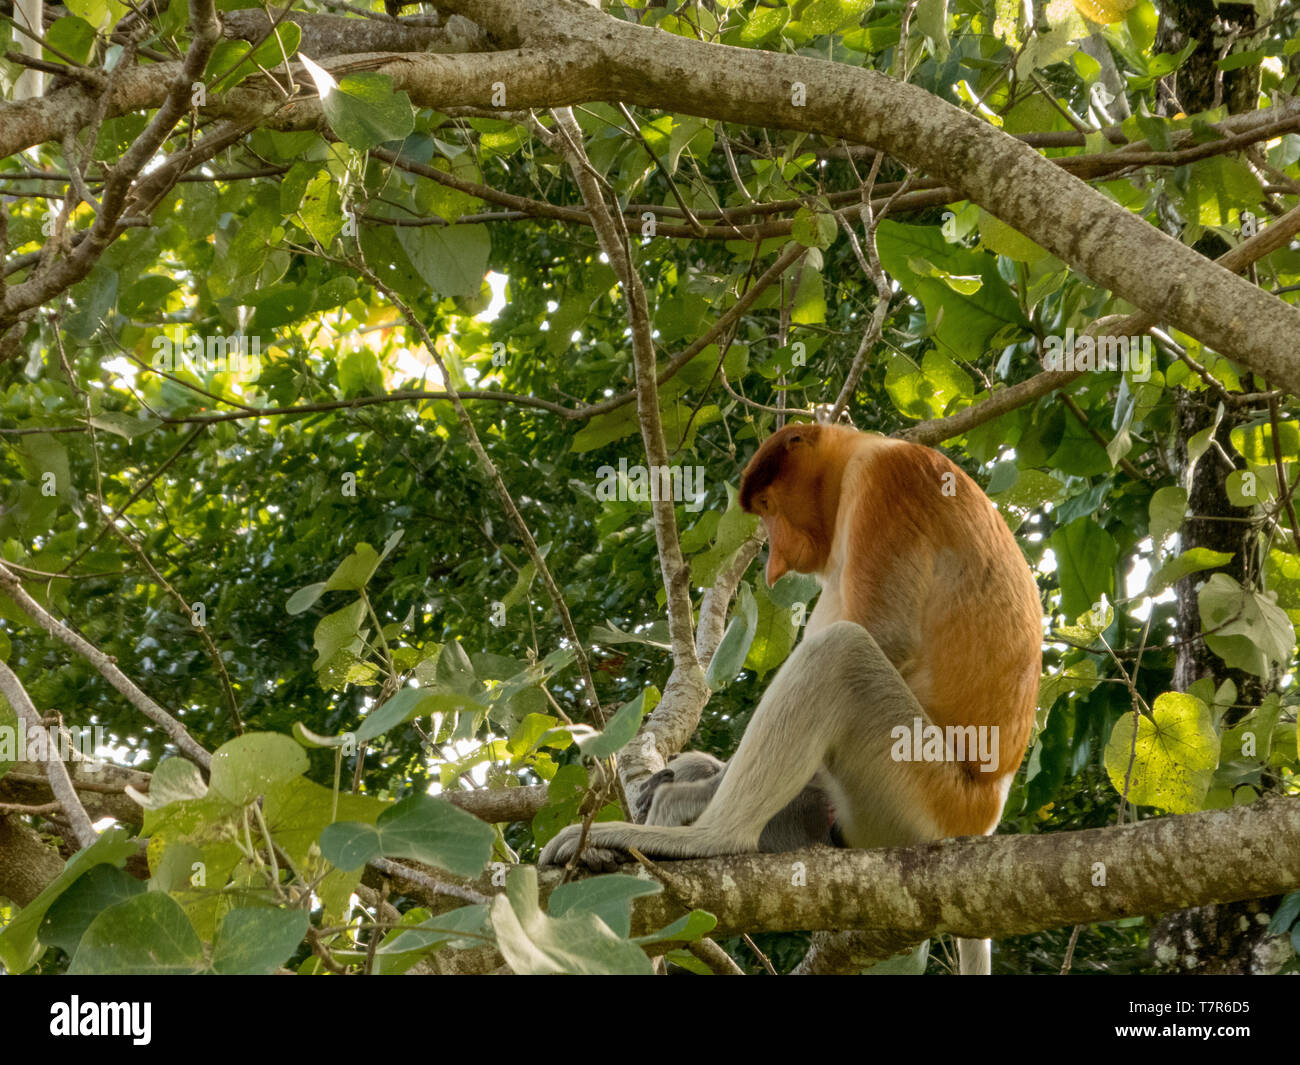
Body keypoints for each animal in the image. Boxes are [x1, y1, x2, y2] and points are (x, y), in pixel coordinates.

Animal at [540, 424, 1042, 974]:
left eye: (767, 504)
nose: (773, 555)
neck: (856, 458)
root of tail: (985, 816)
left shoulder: (889, 483)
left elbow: (883, 635)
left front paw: (689, 793)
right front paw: (686, 773)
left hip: (923, 798)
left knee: (840, 654)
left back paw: (701, 837)